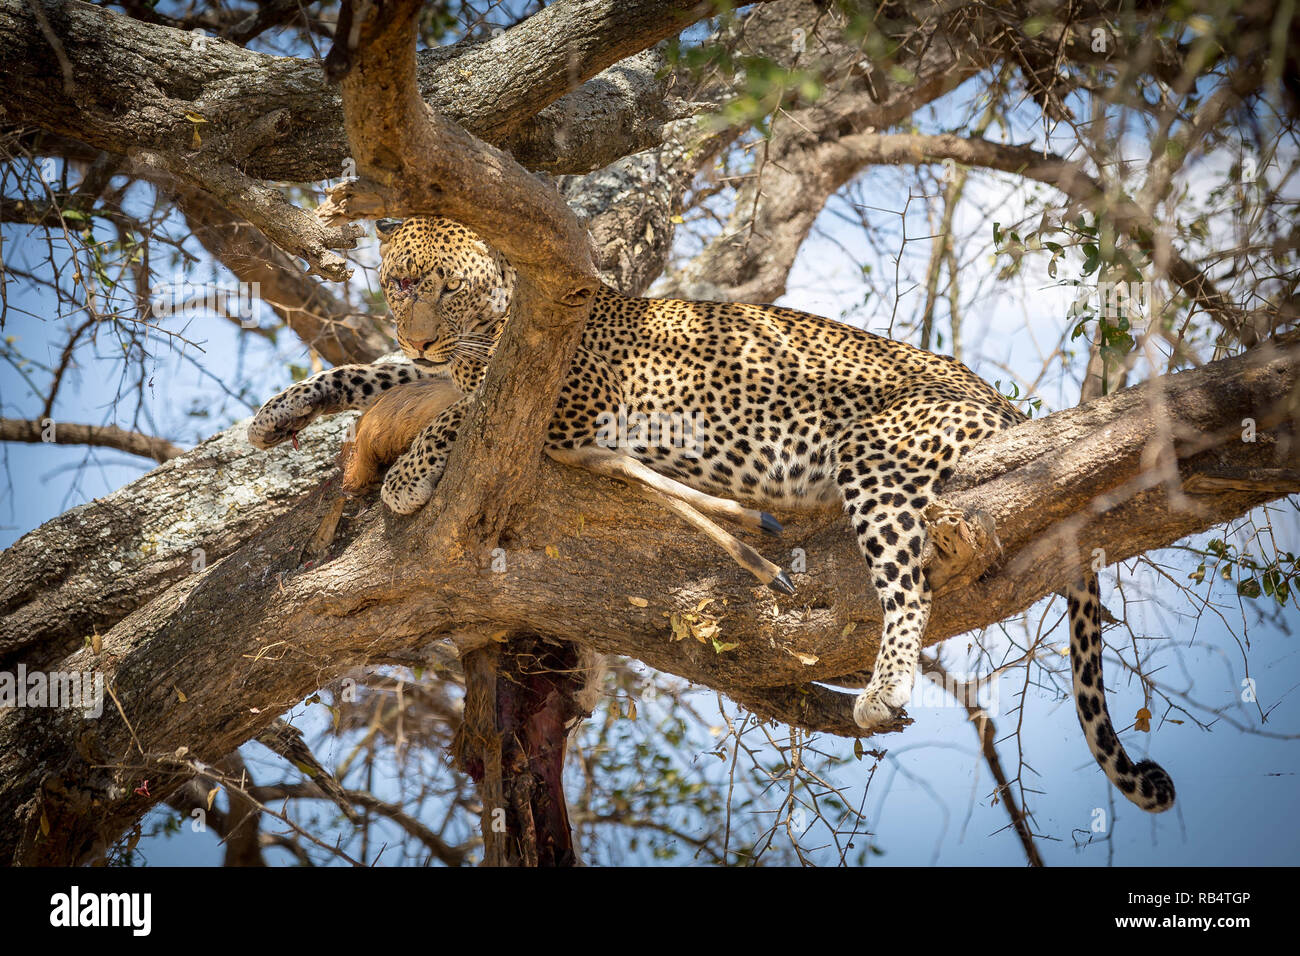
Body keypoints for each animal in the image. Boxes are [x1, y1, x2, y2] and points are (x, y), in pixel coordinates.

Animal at [248, 215, 1175, 813]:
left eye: (444, 286)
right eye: (399, 284)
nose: (422, 333)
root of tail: (1004, 401)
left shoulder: (567, 409)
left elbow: (456, 411)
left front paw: (408, 476)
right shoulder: (463, 374)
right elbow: (380, 373)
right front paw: (279, 413)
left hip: (876, 455)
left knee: (907, 580)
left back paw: (881, 689)